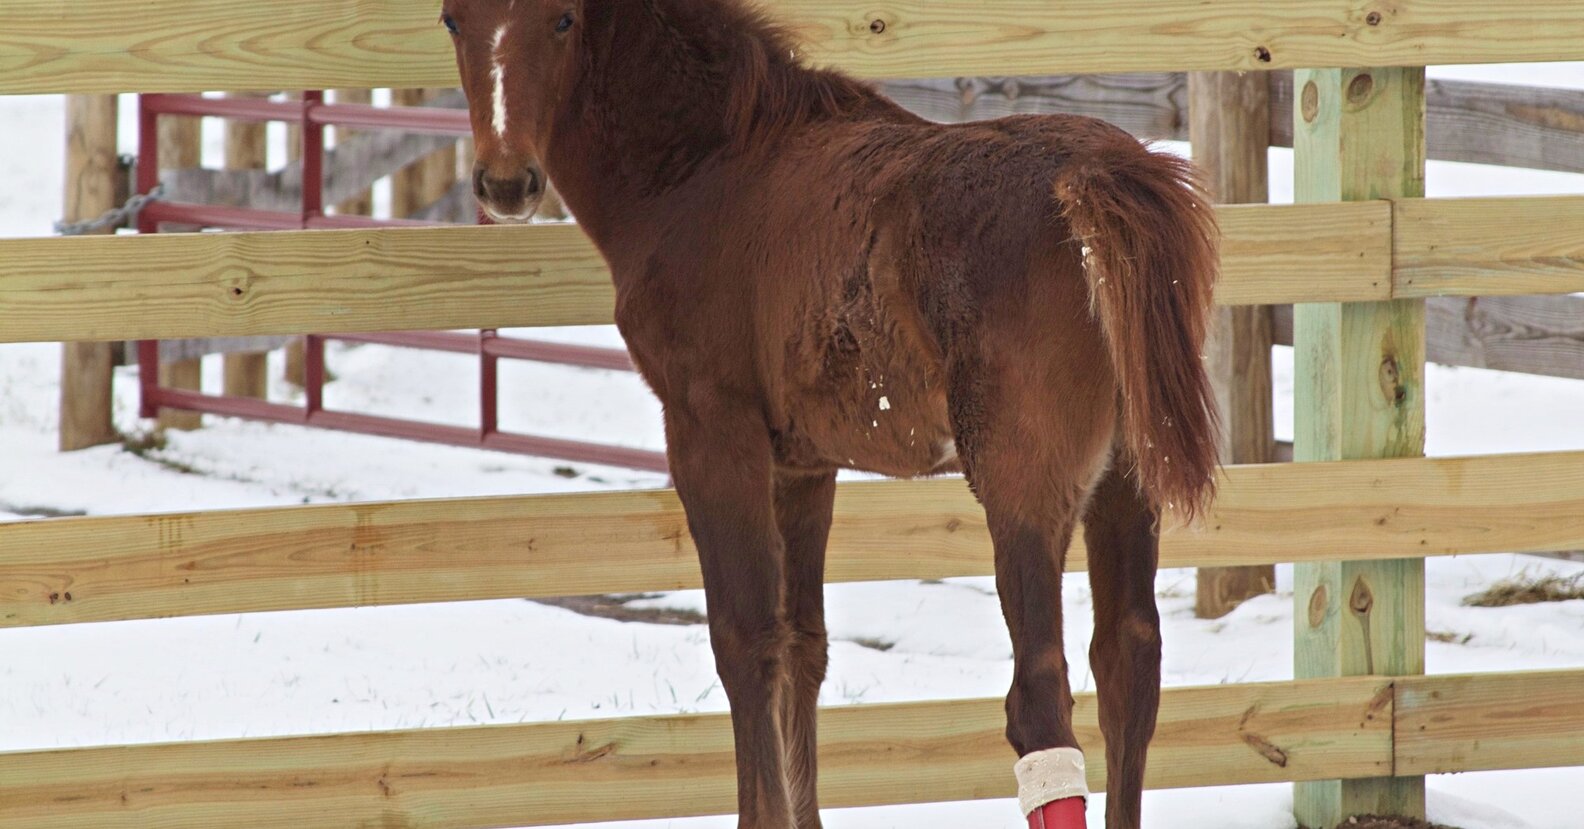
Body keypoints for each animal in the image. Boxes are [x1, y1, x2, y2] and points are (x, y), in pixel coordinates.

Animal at [439, 1, 1220, 826]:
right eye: (453, 21)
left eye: (562, 21)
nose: (505, 181)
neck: (708, 167)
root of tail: (1094, 175)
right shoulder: (803, 464)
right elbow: (802, 644)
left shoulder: (711, 433)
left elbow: (746, 639)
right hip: (1127, 485)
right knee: (1128, 667)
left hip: (1022, 490)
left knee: (1040, 703)